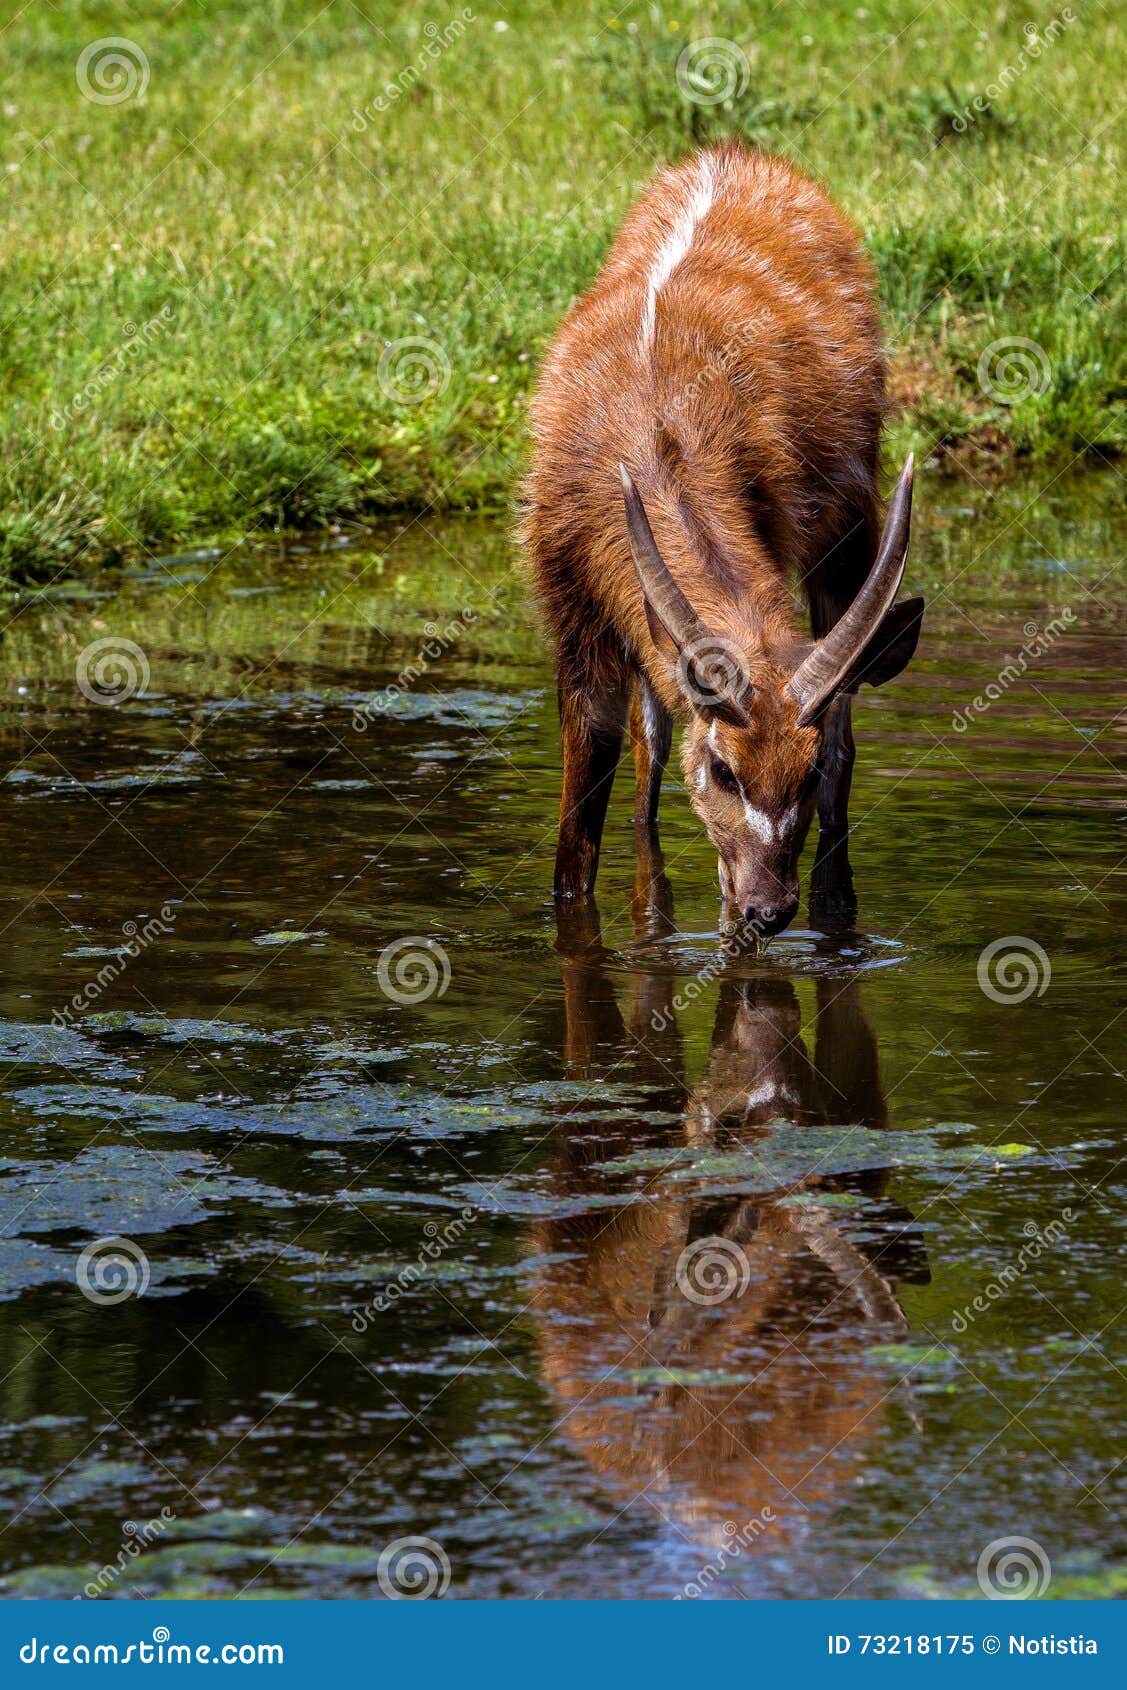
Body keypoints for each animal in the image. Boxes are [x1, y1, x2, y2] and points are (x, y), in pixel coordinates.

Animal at [525, 143, 924, 934]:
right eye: (723, 769)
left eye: (798, 772)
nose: (770, 909)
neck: (649, 420)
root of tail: (734, 153)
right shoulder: (575, 622)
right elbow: (579, 842)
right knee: (650, 759)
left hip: (848, 530)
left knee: (847, 749)